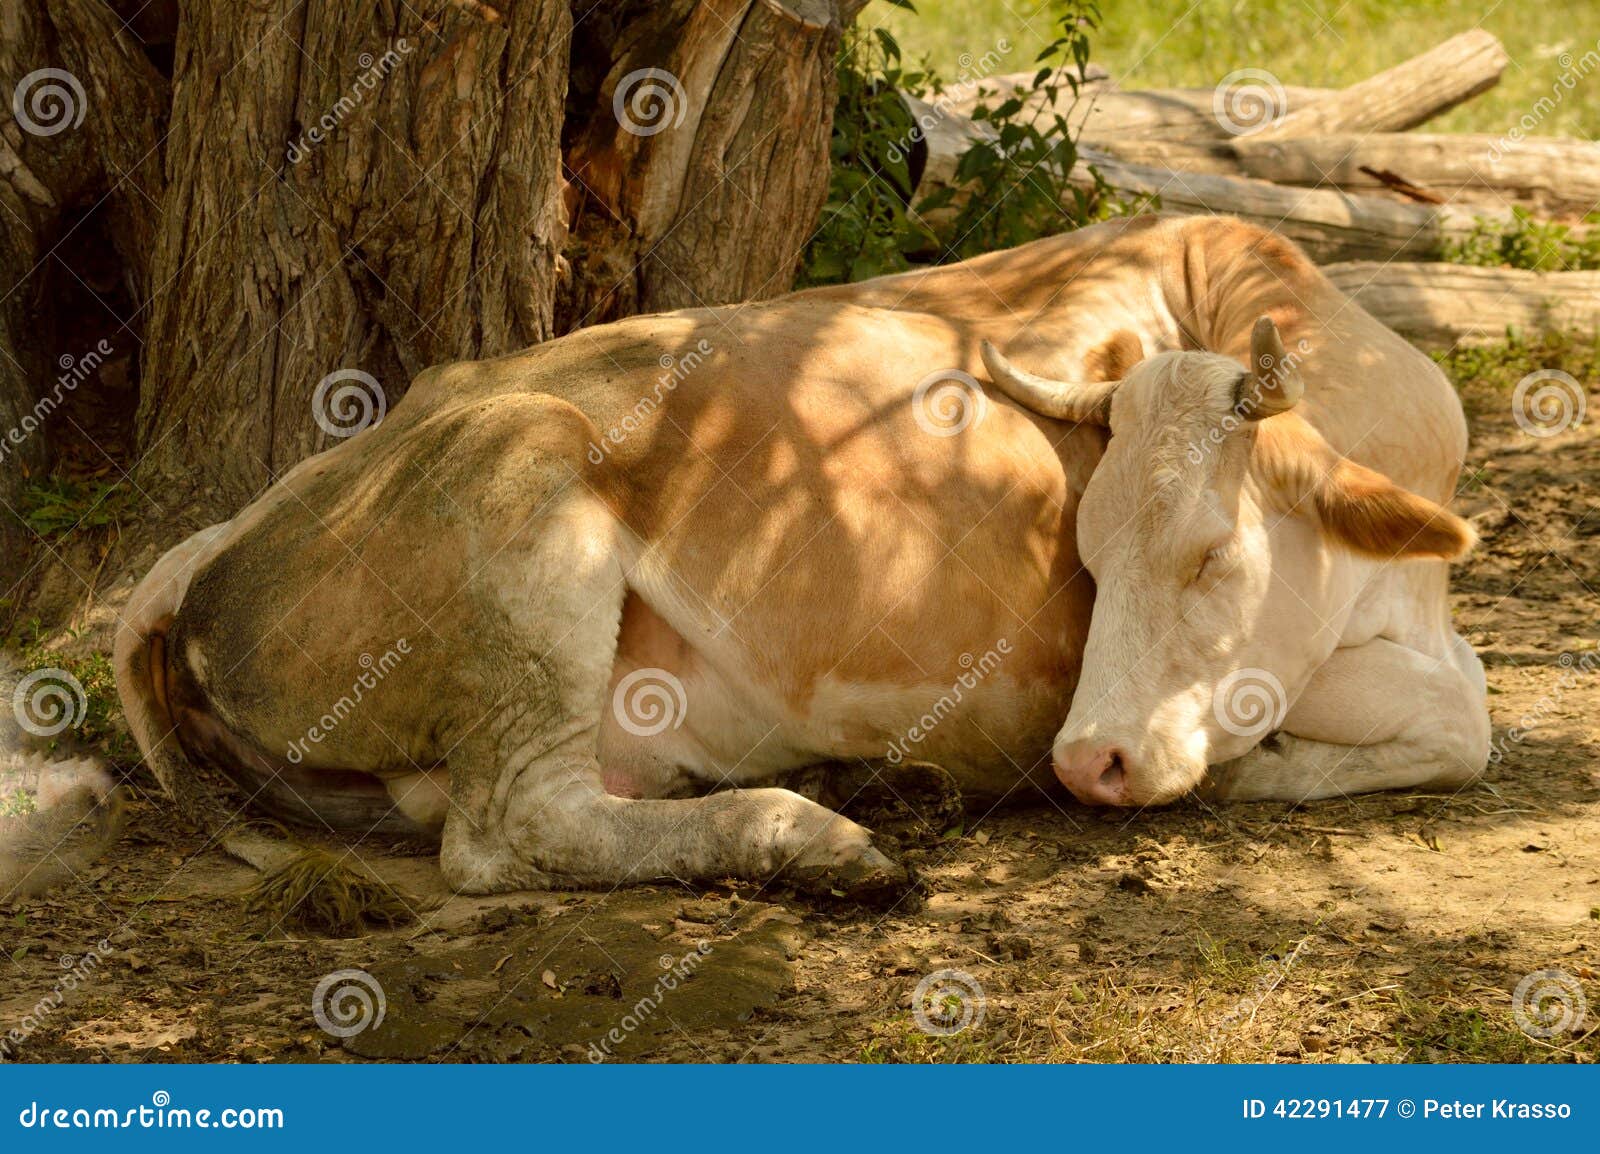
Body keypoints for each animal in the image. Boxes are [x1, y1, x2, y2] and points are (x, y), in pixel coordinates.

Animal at [96, 214, 1485, 898]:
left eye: (1208, 555)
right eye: (1090, 555)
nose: (1087, 760)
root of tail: (217, 543)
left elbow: (1461, 711)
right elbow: (1458, 715)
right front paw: (1266, 766)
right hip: (528, 495)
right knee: (511, 831)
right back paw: (812, 840)